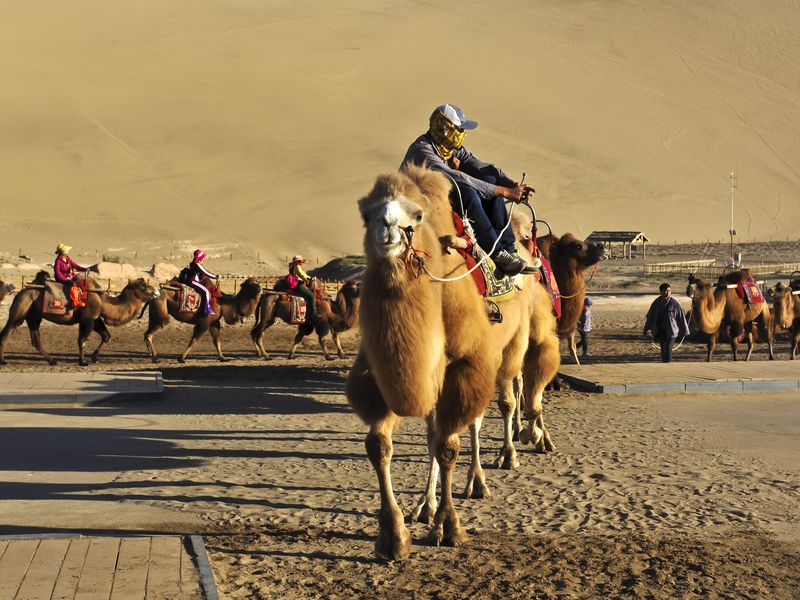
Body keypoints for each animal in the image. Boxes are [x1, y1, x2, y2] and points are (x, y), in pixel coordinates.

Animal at [0, 271, 159, 366]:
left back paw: (52, 360)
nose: (157, 291)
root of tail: (20, 292)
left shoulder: (95, 318)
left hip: (34, 316)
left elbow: (106, 336)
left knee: (35, 339)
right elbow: (82, 339)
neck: (102, 300)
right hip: (20, 310)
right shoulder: (87, 319)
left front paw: (94, 357)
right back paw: (3, 361)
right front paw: (83, 361)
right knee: (6, 333)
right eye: (144, 286)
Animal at [346, 165, 559, 561]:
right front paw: (394, 534)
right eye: (366, 214)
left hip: (514, 342)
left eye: (417, 215)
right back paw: (432, 501)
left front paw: (449, 527)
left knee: (511, 398)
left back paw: (507, 457)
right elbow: (380, 445)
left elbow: (448, 446)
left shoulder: (467, 363)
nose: (387, 228)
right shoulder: (387, 375)